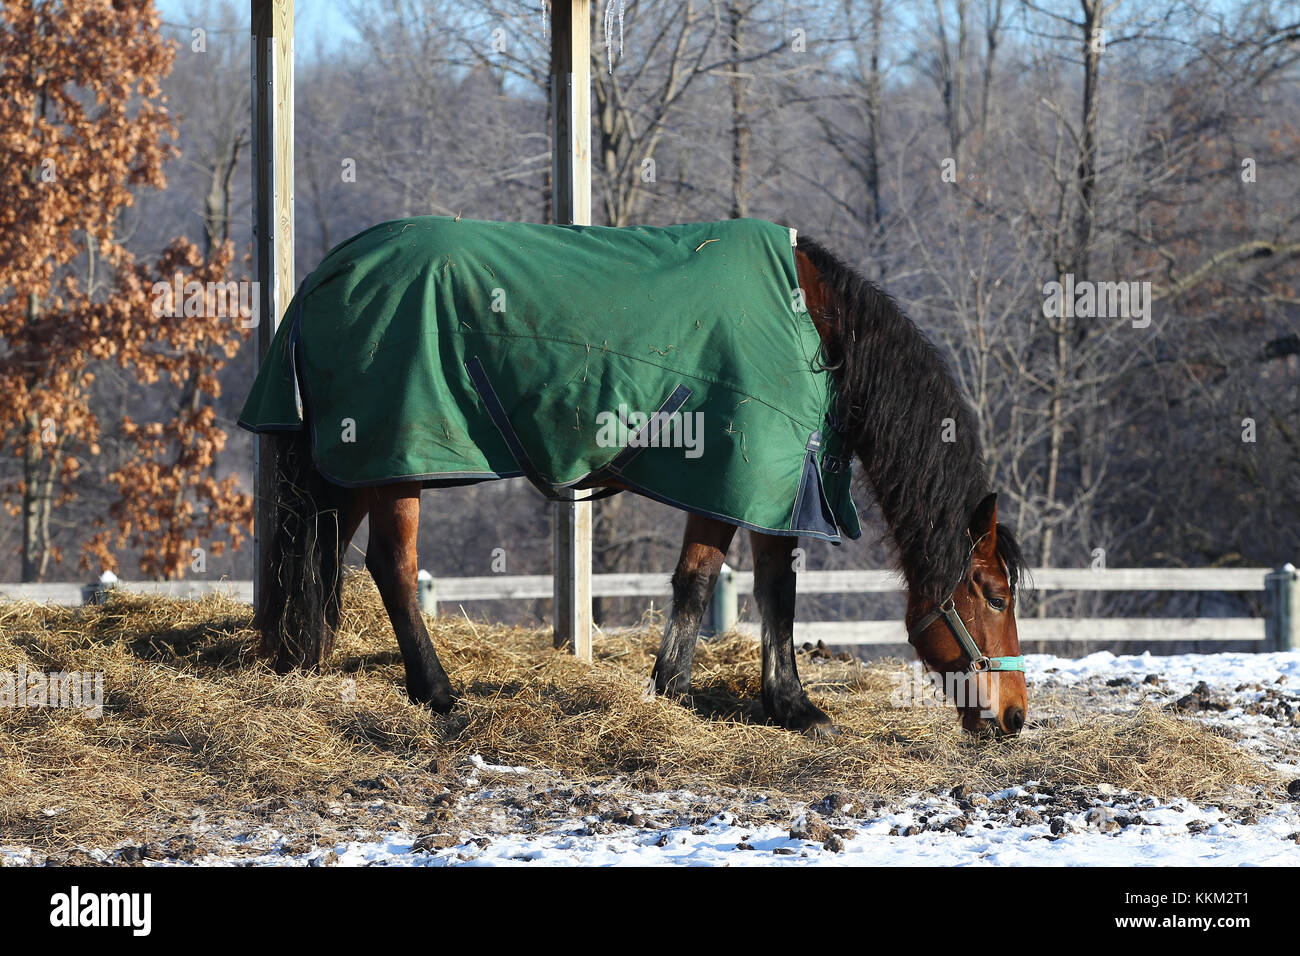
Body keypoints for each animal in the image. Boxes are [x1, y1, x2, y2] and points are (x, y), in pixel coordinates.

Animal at [248, 223, 1028, 738]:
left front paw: (750, 699)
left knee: (327, 555)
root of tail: (330, 272)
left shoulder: (764, 487)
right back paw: (437, 693)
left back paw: (306, 662)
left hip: (357, 468)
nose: (1015, 716)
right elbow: (721, 583)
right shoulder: (744, 472)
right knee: (394, 568)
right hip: (396, 466)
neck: (815, 327)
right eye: (993, 594)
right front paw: (728, 697)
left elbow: (746, 585)